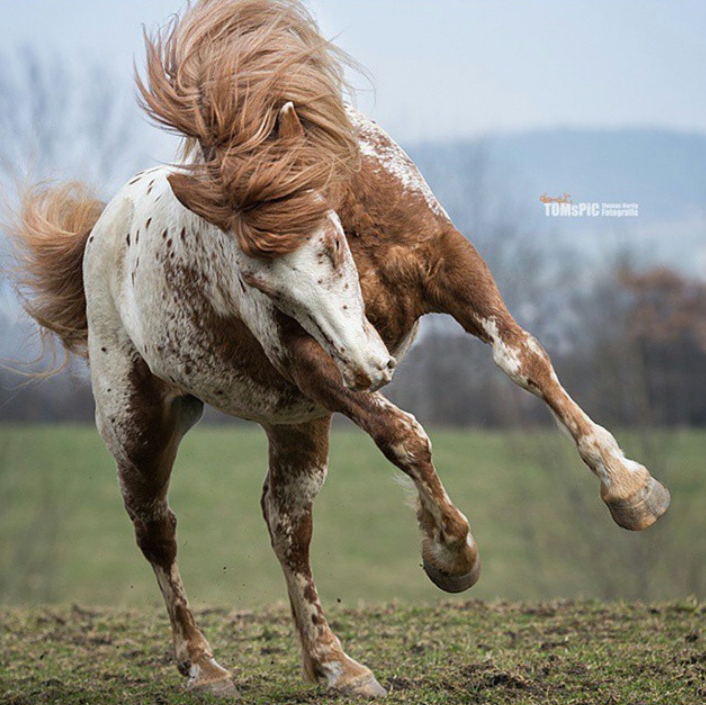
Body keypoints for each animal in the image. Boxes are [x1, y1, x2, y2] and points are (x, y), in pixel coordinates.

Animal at [10, 0, 670, 699]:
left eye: (328, 241)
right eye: (258, 280)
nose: (368, 363)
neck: (359, 218)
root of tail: (101, 230)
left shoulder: (453, 270)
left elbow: (525, 361)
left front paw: (629, 490)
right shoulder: (308, 363)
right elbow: (403, 436)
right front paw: (451, 552)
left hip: (296, 426)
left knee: (286, 527)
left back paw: (335, 665)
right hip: (140, 425)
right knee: (156, 530)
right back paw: (206, 667)